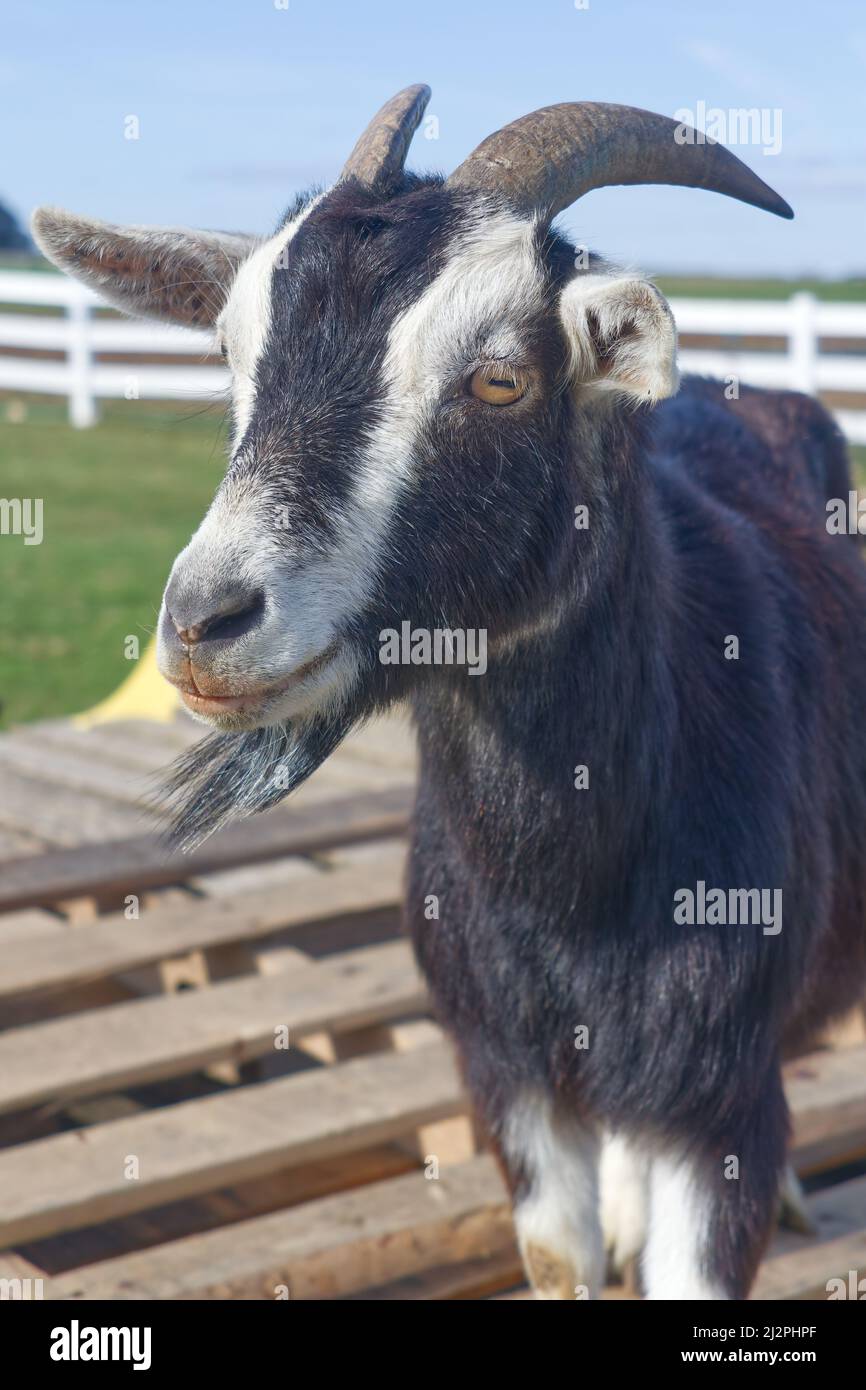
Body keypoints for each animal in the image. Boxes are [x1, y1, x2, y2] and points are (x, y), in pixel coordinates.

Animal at [33, 86, 866, 1299]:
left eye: (500, 376)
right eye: (232, 357)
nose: (201, 623)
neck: (569, 885)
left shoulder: (717, 1094)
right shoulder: (506, 1075)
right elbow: (556, 1252)